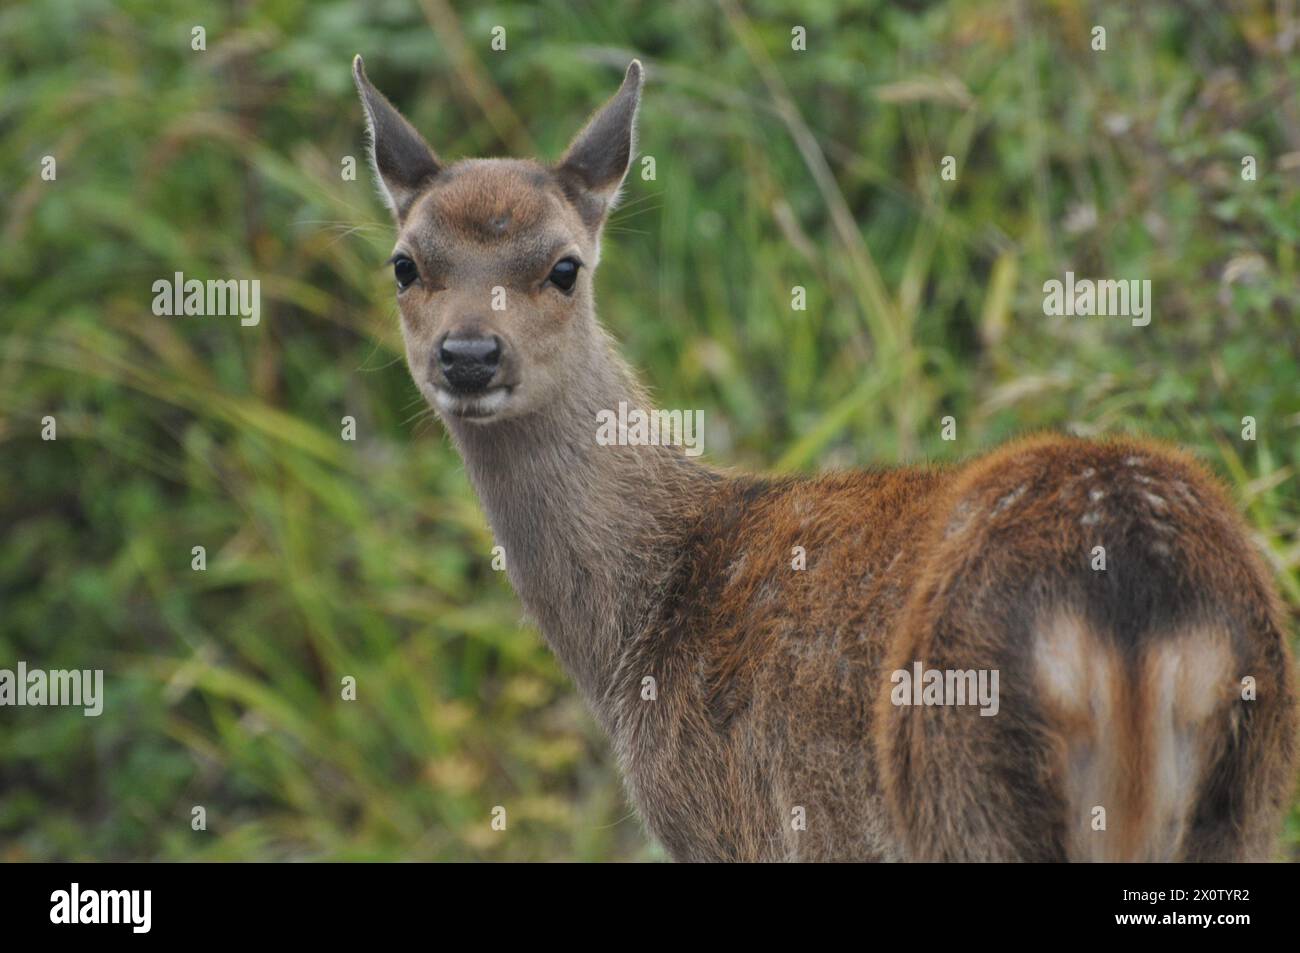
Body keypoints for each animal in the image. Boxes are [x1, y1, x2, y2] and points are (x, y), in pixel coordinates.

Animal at [352, 56, 1298, 861]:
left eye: (563, 267)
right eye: (405, 264)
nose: (469, 355)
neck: (639, 634)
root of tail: (1135, 591)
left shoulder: (740, 824)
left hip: (958, 793)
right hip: (1246, 795)